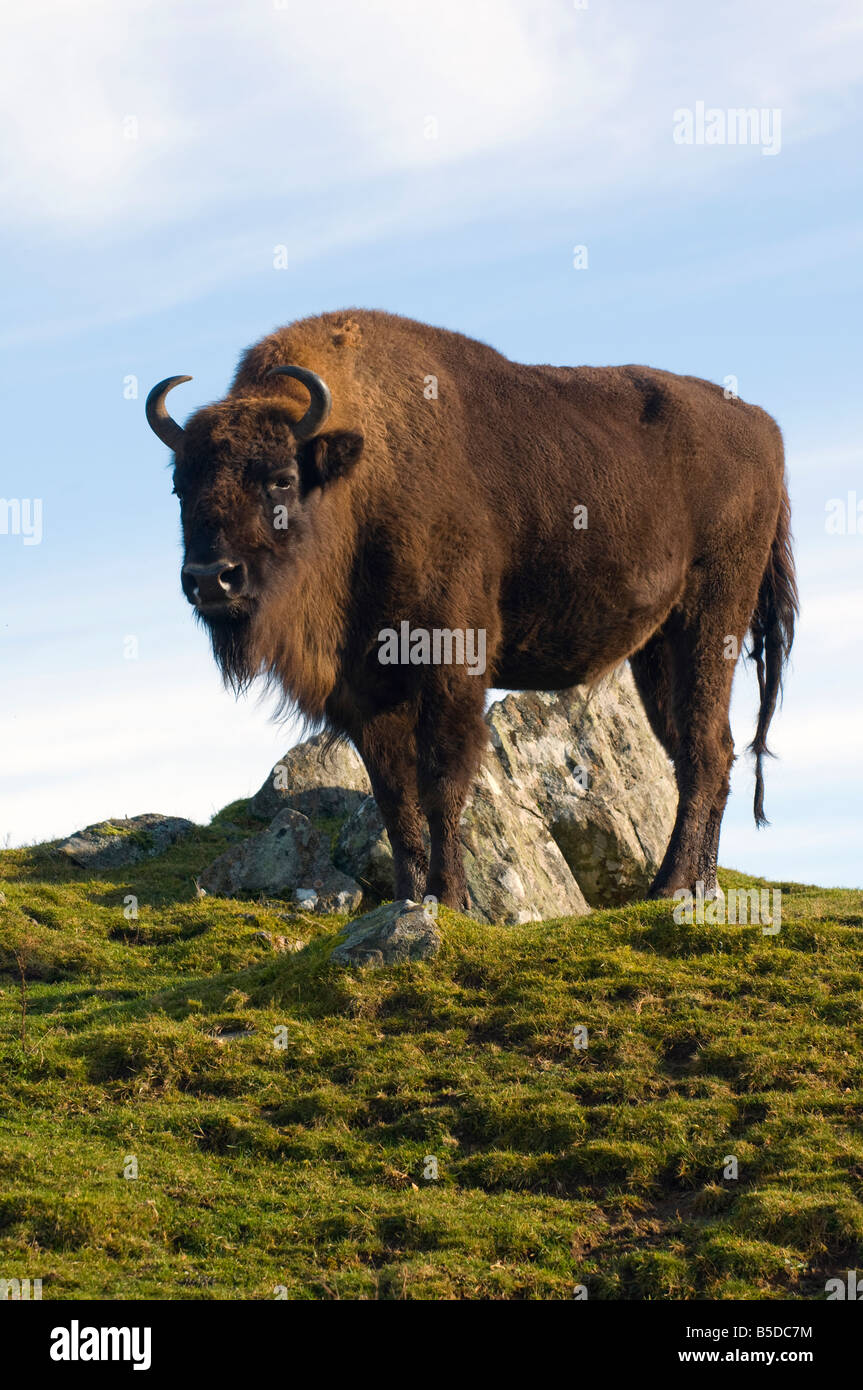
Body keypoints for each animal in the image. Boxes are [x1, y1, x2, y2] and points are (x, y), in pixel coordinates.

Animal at [146, 308, 794, 906]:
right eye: (180, 486)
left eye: (281, 478)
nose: (210, 579)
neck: (358, 480)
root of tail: (766, 430)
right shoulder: (366, 691)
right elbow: (394, 796)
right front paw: (411, 896)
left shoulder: (449, 663)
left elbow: (442, 780)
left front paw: (450, 897)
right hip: (657, 650)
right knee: (699, 749)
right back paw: (699, 885)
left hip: (710, 623)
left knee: (706, 749)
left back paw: (672, 886)